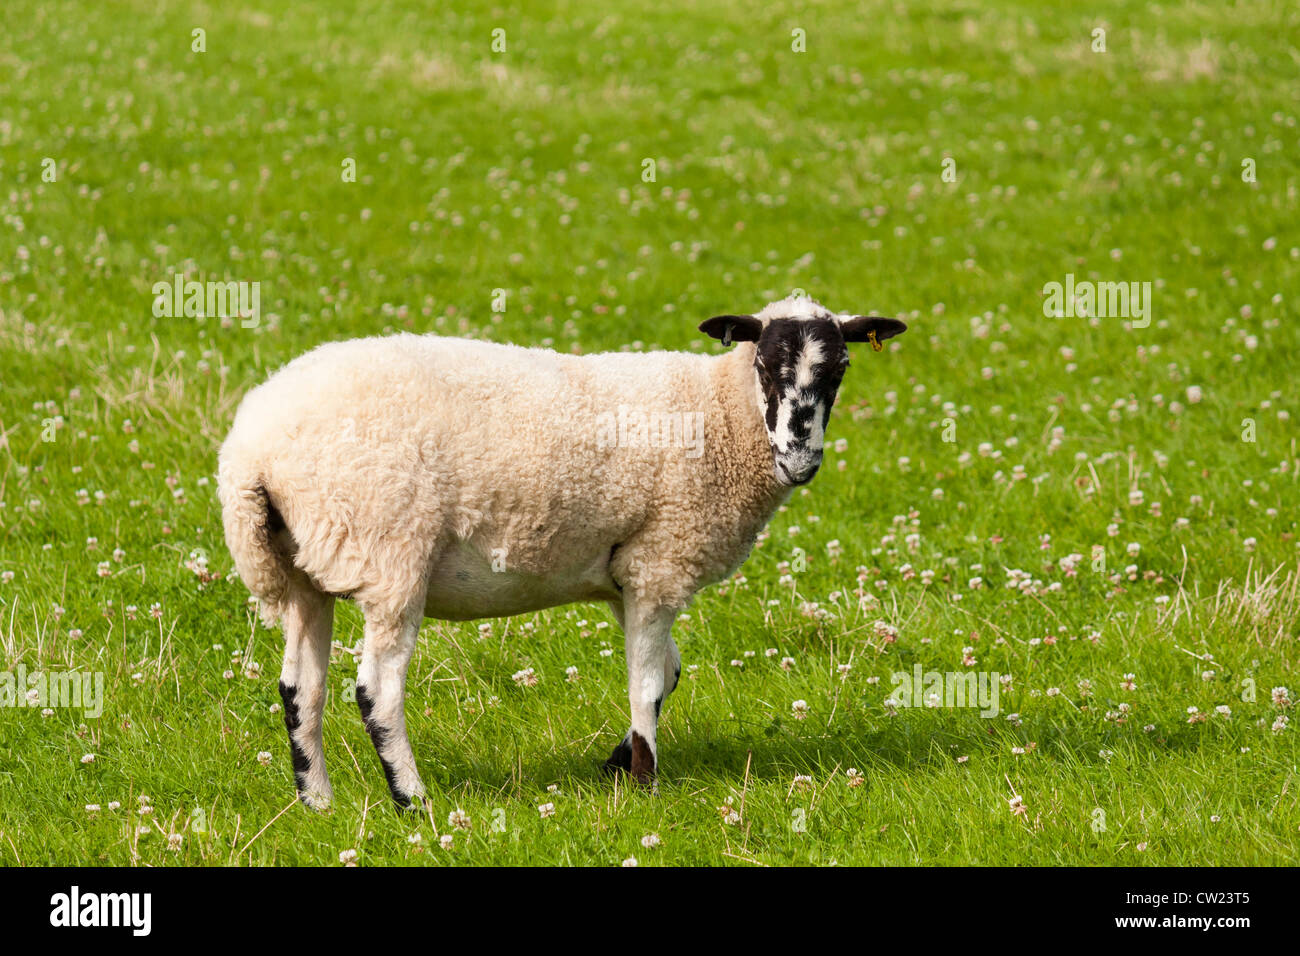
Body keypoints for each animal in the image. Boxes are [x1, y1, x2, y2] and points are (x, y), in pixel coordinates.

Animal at [217, 296, 906, 809]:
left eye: (840, 370)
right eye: (765, 366)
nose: (800, 458)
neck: (718, 414)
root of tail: (251, 450)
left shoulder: (626, 573)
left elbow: (667, 676)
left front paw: (618, 762)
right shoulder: (659, 563)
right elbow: (646, 682)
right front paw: (644, 783)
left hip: (304, 567)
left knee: (300, 690)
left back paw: (317, 801)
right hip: (391, 554)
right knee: (376, 691)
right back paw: (412, 799)